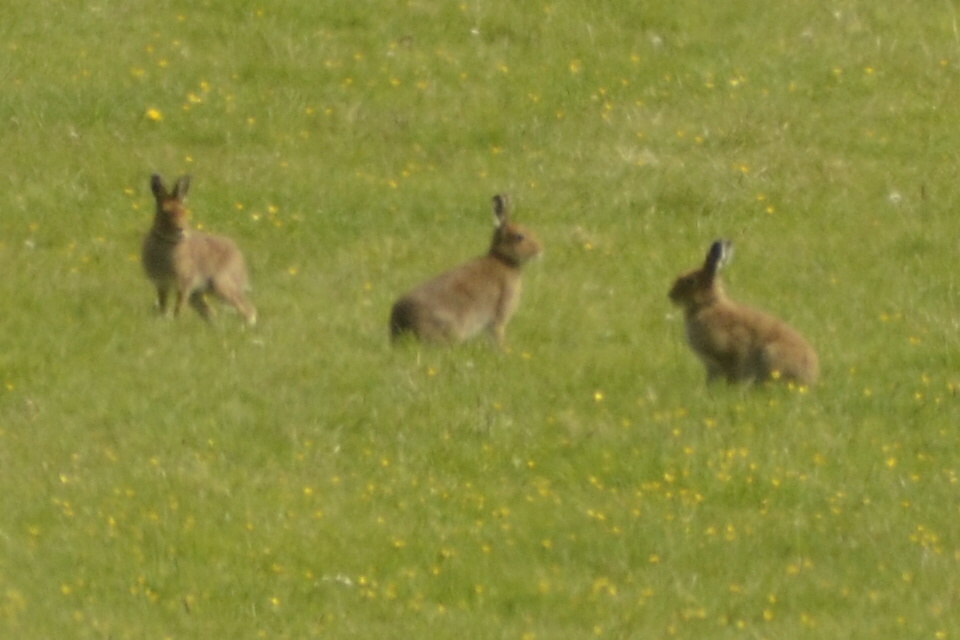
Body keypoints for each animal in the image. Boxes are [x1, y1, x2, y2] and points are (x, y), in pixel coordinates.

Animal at [142, 173, 257, 325]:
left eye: (184, 212)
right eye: (164, 212)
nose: (181, 230)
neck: (169, 242)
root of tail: (239, 256)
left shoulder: (185, 284)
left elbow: (179, 305)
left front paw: (176, 320)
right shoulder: (162, 284)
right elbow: (163, 304)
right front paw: (164, 318)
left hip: (221, 285)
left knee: (248, 309)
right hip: (198, 294)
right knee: (210, 312)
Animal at [390, 194, 542, 347]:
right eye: (520, 236)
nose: (540, 250)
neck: (504, 259)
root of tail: (401, 322)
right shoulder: (499, 316)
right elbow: (498, 333)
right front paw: (504, 349)